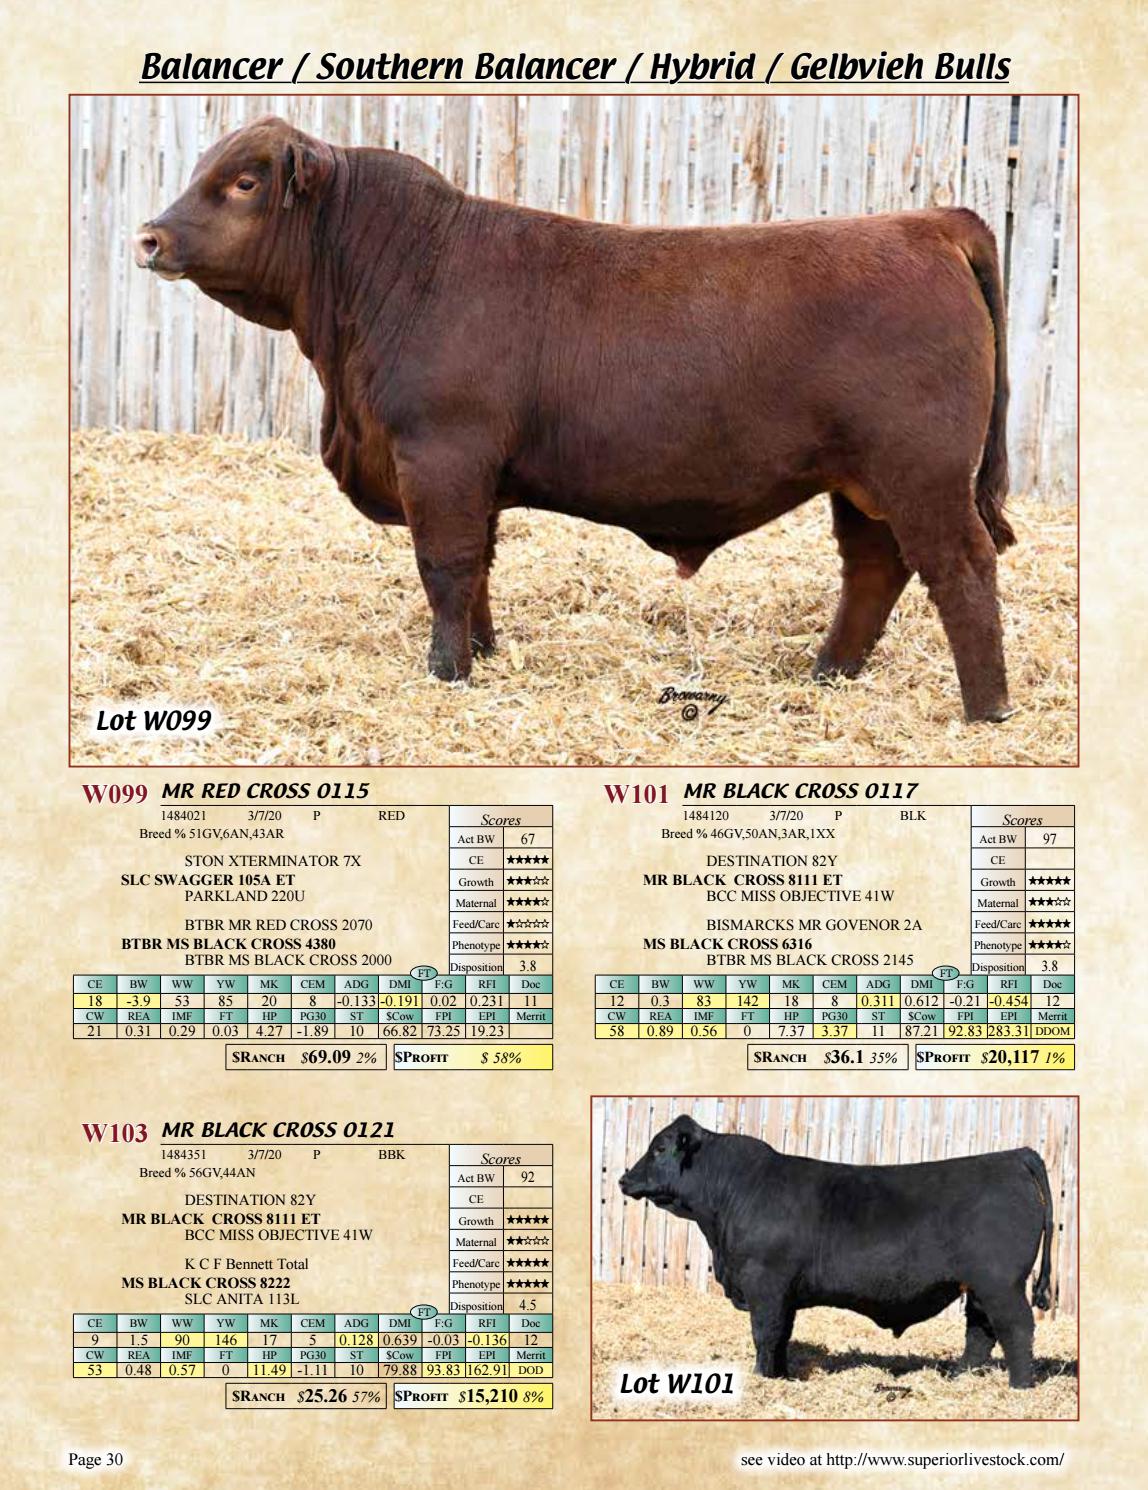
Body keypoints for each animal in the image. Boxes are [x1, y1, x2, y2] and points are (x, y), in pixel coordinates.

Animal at [135, 116, 1016, 721]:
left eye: (245, 183)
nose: (149, 237)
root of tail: (929, 222)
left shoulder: (440, 457)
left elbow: (445, 566)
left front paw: (446, 671)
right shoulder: (473, 475)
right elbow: (479, 568)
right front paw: (484, 652)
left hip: (922, 471)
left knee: (961, 569)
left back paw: (987, 710)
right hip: (861, 481)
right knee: (873, 567)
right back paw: (828, 671)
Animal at [619, 1114, 1054, 1388]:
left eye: (659, 1148)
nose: (624, 1178)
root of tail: (1015, 1155)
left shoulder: (765, 1283)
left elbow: (765, 1332)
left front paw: (763, 1377)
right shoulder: (784, 1292)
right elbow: (782, 1335)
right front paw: (780, 1376)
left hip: (1001, 1283)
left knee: (1016, 1328)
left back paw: (1020, 1386)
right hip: (979, 1286)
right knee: (980, 1333)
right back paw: (959, 1377)